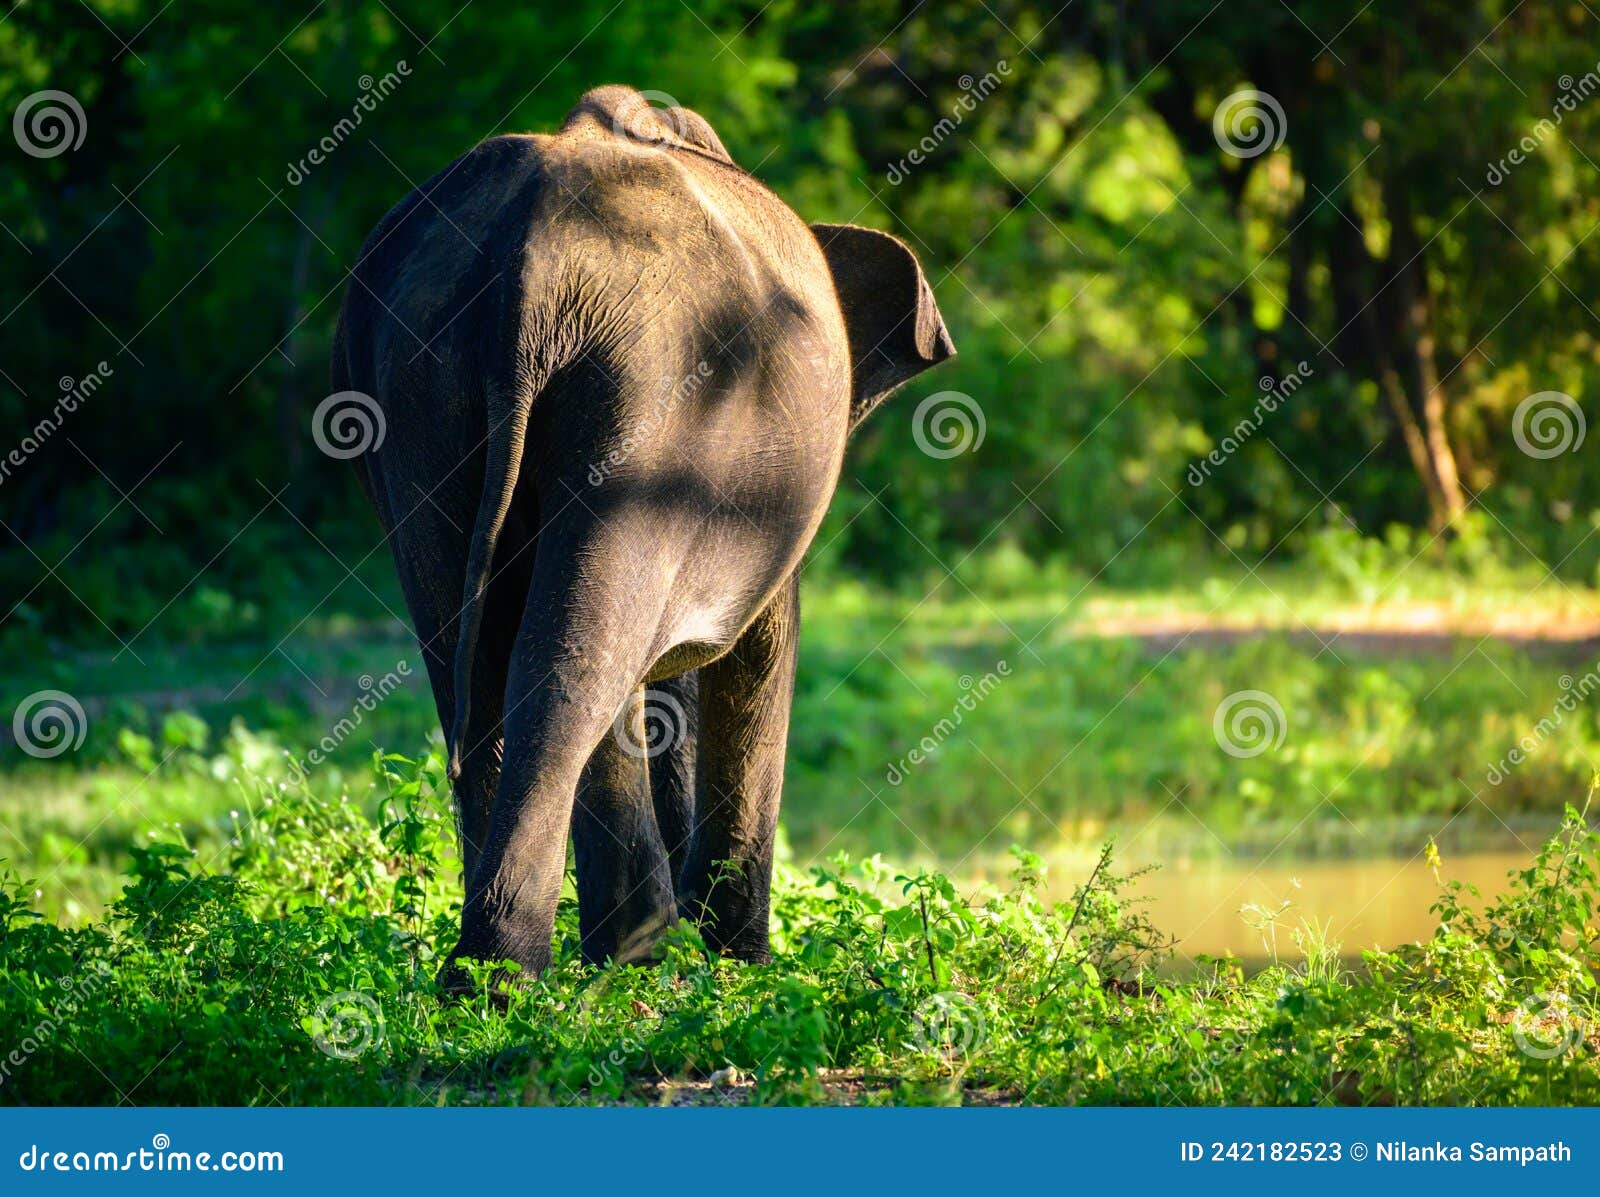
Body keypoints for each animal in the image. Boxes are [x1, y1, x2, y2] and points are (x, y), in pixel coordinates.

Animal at [330, 85, 954, 980]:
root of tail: (525, 265)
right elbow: (757, 655)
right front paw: (742, 963)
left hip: (414, 396)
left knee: (471, 661)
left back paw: (510, 968)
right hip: (650, 401)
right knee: (570, 664)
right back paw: (550, 969)